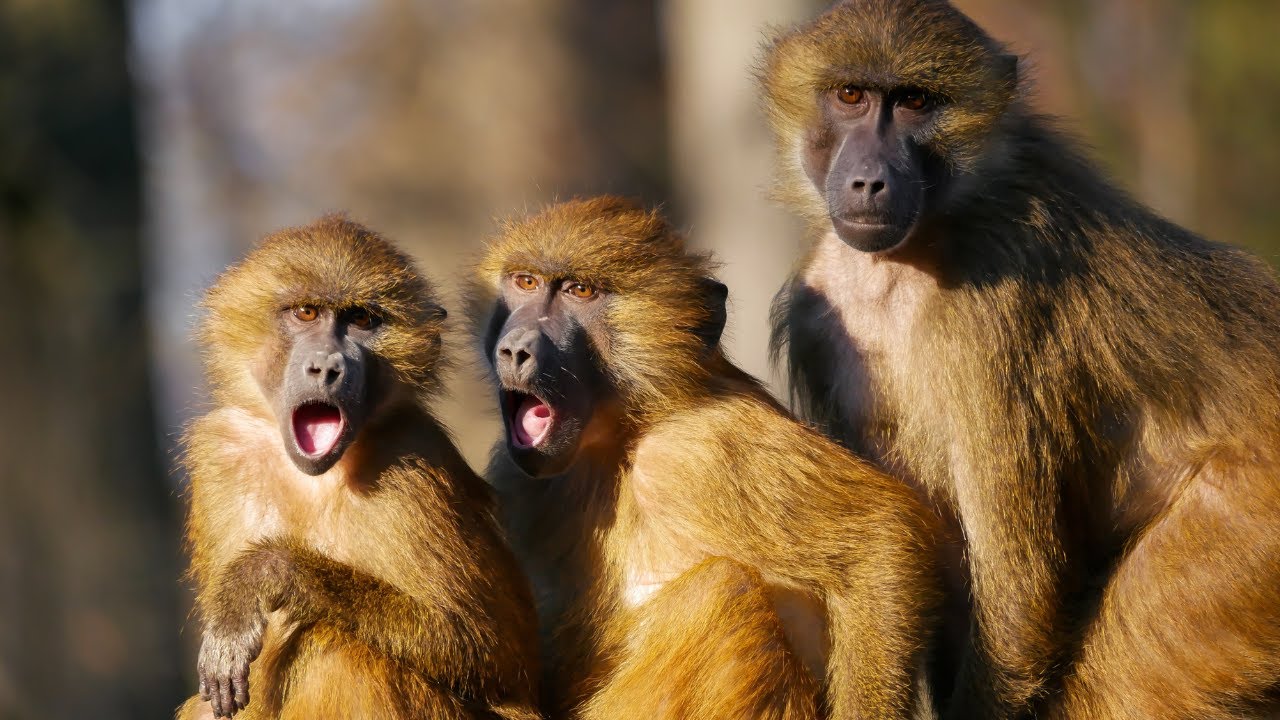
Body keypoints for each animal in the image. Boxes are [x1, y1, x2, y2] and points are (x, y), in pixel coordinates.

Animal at [174, 216, 541, 720]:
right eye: (306, 313)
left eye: (362, 320)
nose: (328, 368)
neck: (313, 477)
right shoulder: (222, 453)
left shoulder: (412, 462)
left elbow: (487, 646)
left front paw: (262, 576)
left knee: (340, 653)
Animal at [468, 196, 942, 720]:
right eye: (525, 282)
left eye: (580, 290)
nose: (515, 349)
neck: (623, 438)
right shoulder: (517, 476)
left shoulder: (703, 447)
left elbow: (882, 537)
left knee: (722, 591)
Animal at [761, 1, 1280, 718]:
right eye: (850, 96)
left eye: (915, 102)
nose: (870, 180)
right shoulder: (818, 317)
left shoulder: (990, 309)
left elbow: (1018, 593)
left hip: (1244, 534)